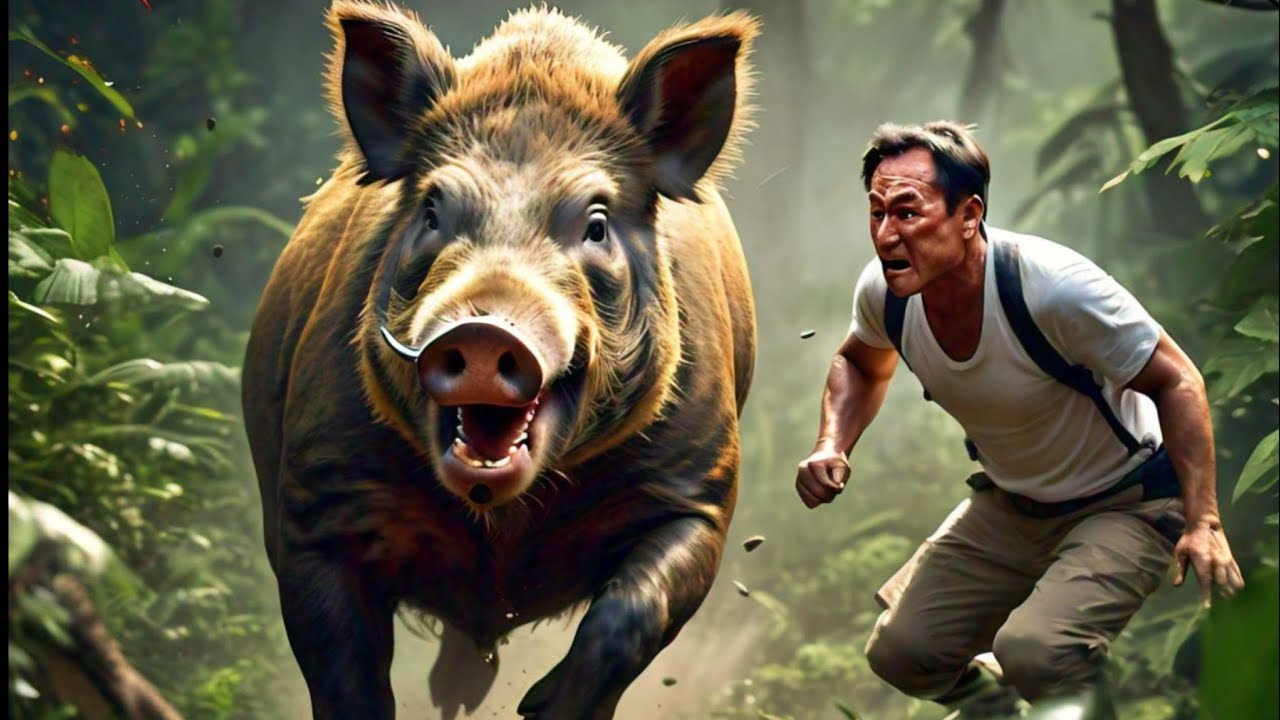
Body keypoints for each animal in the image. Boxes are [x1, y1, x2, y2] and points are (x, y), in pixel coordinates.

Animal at [241, 2, 758, 718]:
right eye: (432, 211)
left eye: (597, 225)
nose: (485, 329)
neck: (501, 529)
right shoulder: (313, 501)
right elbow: (346, 674)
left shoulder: (699, 489)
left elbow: (627, 620)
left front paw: (536, 705)